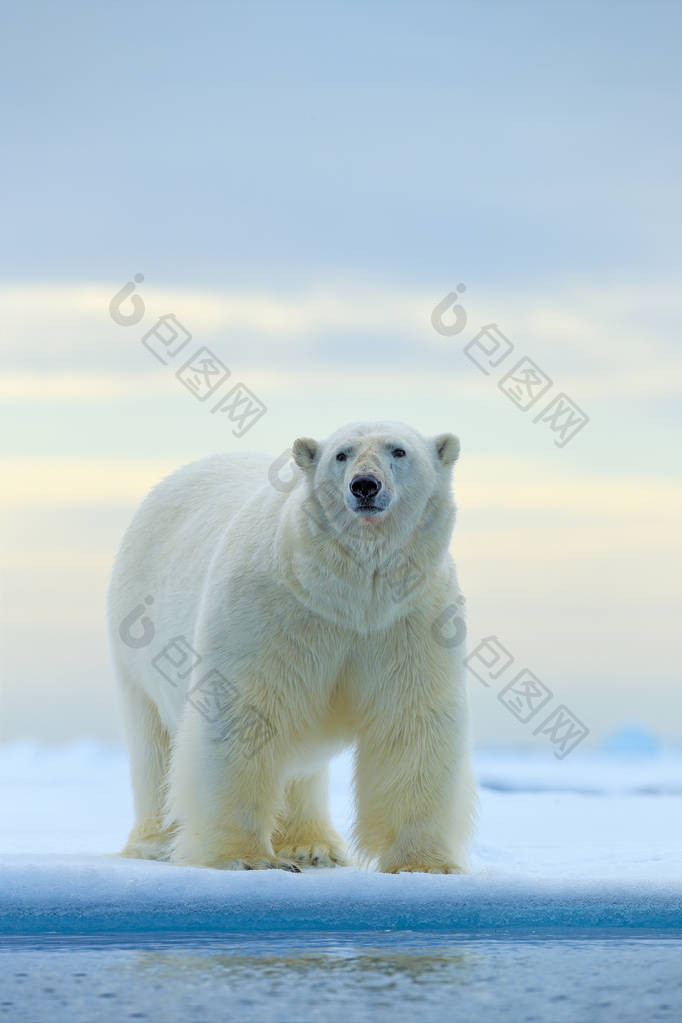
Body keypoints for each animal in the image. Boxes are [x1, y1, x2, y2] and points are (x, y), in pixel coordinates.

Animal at [107, 420, 476, 873]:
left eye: (399, 450)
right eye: (341, 454)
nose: (365, 485)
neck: (350, 594)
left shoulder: (409, 619)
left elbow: (412, 721)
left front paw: (425, 863)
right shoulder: (272, 609)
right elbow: (245, 713)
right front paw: (245, 857)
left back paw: (313, 846)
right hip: (136, 635)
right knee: (153, 743)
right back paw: (156, 842)